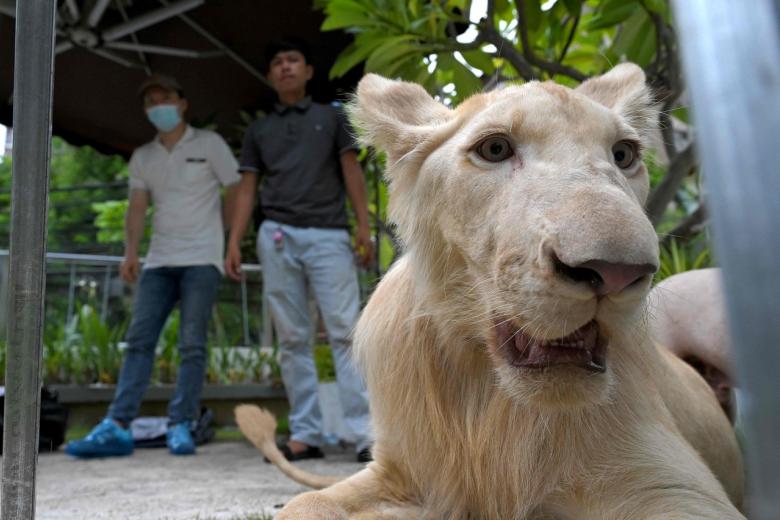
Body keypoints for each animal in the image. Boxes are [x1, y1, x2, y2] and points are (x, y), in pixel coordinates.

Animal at [240, 64, 744, 519]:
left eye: (623, 154)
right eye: (496, 148)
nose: (617, 272)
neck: (486, 395)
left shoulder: (670, 486)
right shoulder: (400, 474)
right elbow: (305, 504)